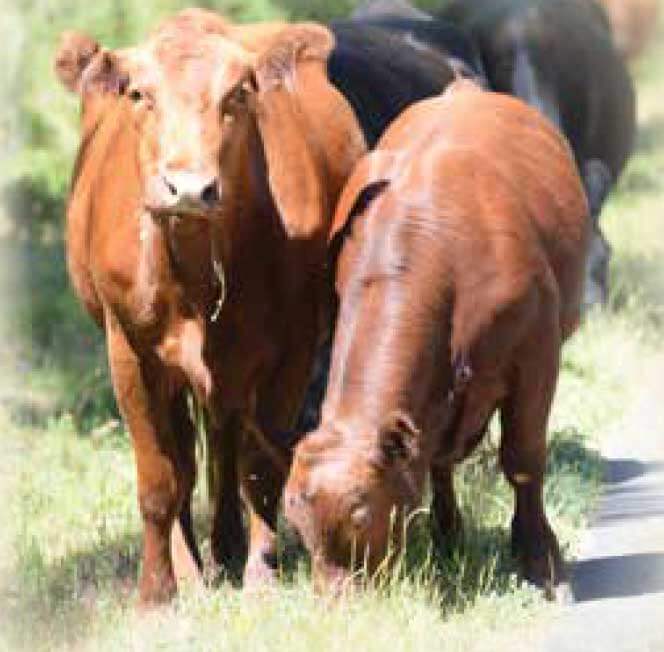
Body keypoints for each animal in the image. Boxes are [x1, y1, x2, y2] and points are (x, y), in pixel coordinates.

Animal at [54, 11, 366, 605]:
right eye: (138, 93)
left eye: (237, 94)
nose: (189, 188)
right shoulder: (128, 351)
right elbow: (159, 478)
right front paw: (157, 593)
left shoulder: (289, 350)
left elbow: (260, 470)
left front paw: (262, 576)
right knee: (184, 461)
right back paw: (194, 570)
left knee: (224, 446)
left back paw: (226, 551)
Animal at [284, 80, 590, 599]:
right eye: (299, 525)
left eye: (362, 516)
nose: (339, 603)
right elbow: (434, 462)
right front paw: (447, 541)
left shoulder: (538, 355)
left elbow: (523, 459)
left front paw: (541, 561)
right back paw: (449, 537)